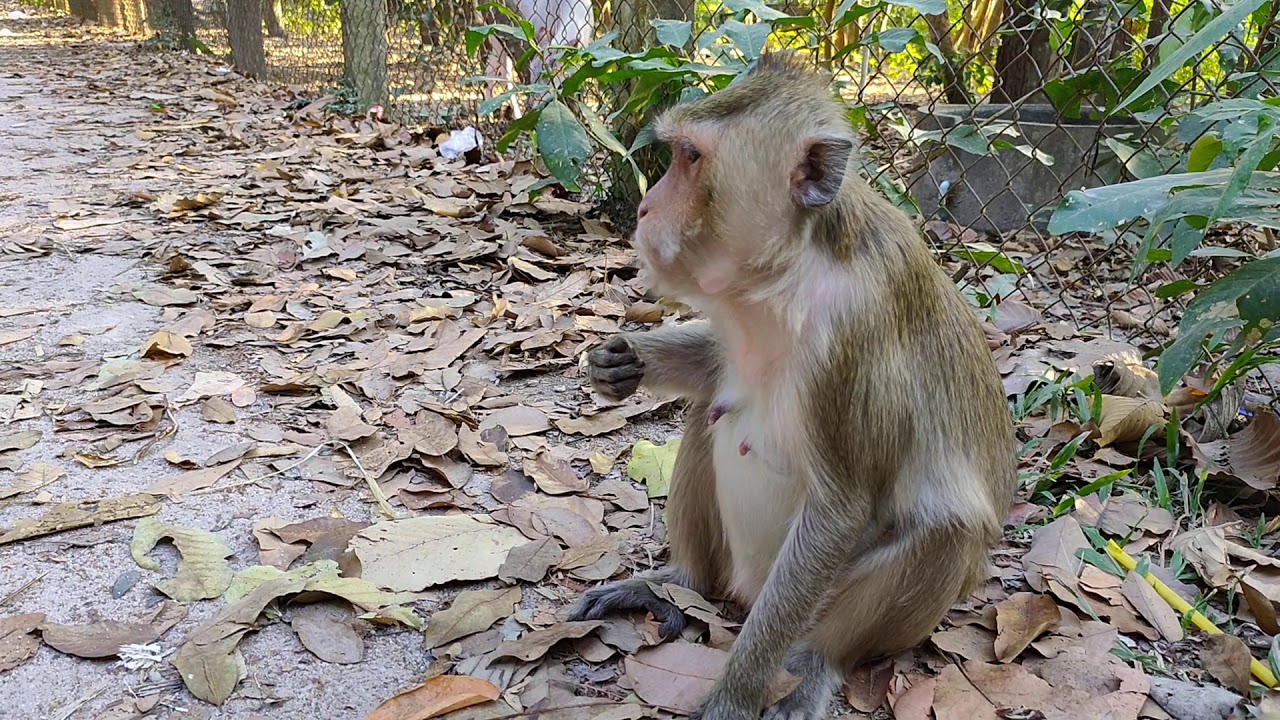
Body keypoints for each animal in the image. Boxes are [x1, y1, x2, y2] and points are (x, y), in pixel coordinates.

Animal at [566, 52, 1017, 720]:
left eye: (691, 157)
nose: (646, 211)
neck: (790, 271)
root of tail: (744, 591)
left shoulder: (854, 339)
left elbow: (839, 510)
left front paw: (733, 695)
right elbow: (717, 371)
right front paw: (623, 362)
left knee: (944, 531)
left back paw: (813, 667)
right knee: (711, 410)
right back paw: (681, 584)